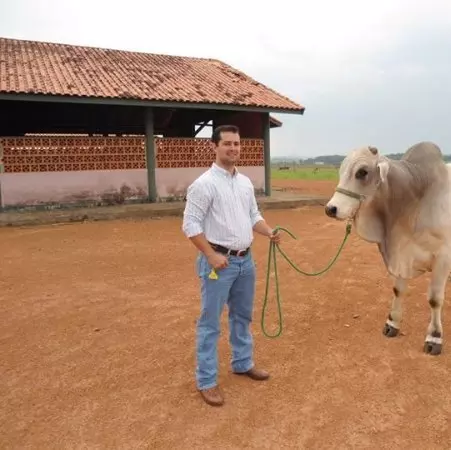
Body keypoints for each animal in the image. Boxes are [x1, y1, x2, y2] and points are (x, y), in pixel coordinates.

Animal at [324, 142, 451, 356]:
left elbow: (435, 299)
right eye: (341, 170)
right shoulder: (401, 254)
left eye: (362, 172)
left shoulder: (443, 257)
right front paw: (392, 324)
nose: (331, 209)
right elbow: (398, 290)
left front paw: (434, 337)